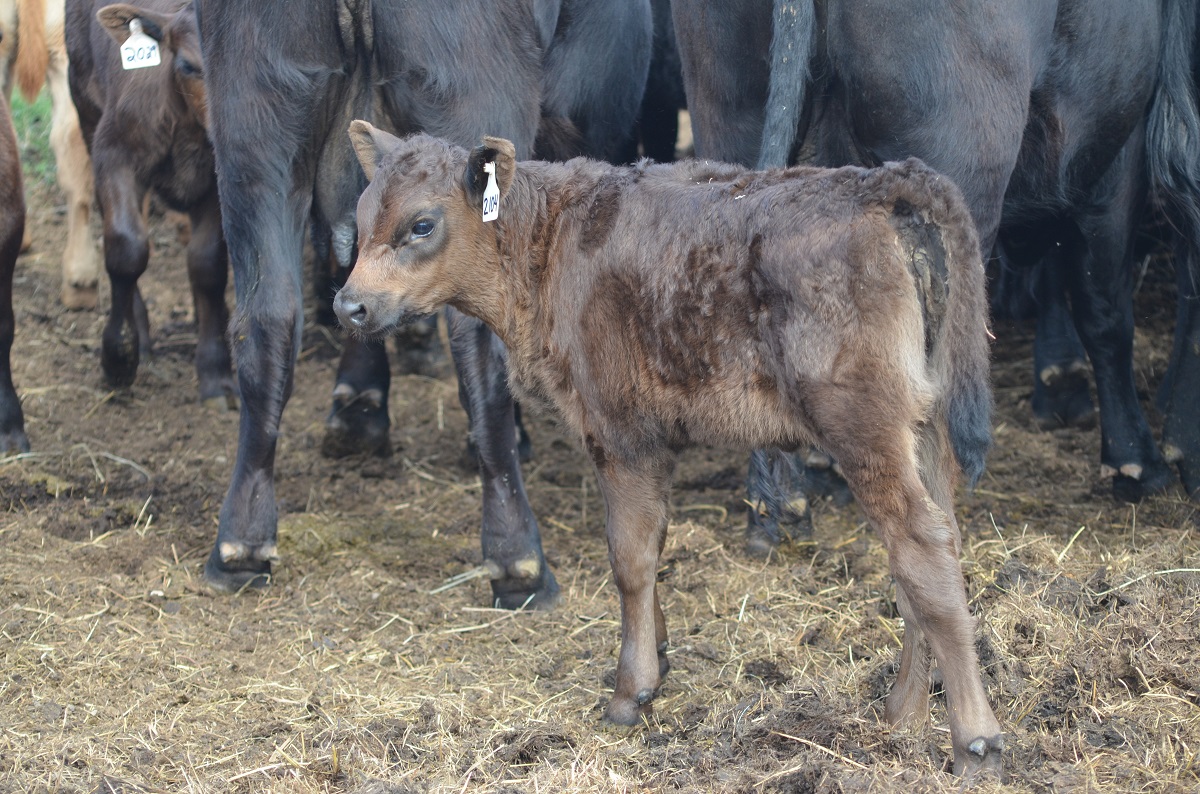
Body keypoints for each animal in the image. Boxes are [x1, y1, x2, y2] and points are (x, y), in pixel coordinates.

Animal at [65, 0, 233, 406]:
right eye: (188, 65)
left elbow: (208, 264)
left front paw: (215, 371)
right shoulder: (115, 154)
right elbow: (127, 249)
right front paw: (117, 359)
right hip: (86, 108)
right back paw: (140, 340)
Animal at [194, 0, 652, 606]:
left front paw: (359, 407)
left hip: (255, 124)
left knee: (268, 317)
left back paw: (241, 542)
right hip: (471, 108)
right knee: (477, 337)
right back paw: (517, 557)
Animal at [332, 128, 1001, 778]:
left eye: (422, 224)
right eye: (360, 218)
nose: (348, 304)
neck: (547, 241)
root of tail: (888, 183)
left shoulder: (621, 433)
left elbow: (629, 559)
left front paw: (631, 692)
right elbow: (652, 547)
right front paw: (656, 657)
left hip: (864, 425)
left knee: (921, 550)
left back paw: (976, 741)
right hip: (924, 425)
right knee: (932, 548)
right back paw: (902, 713)